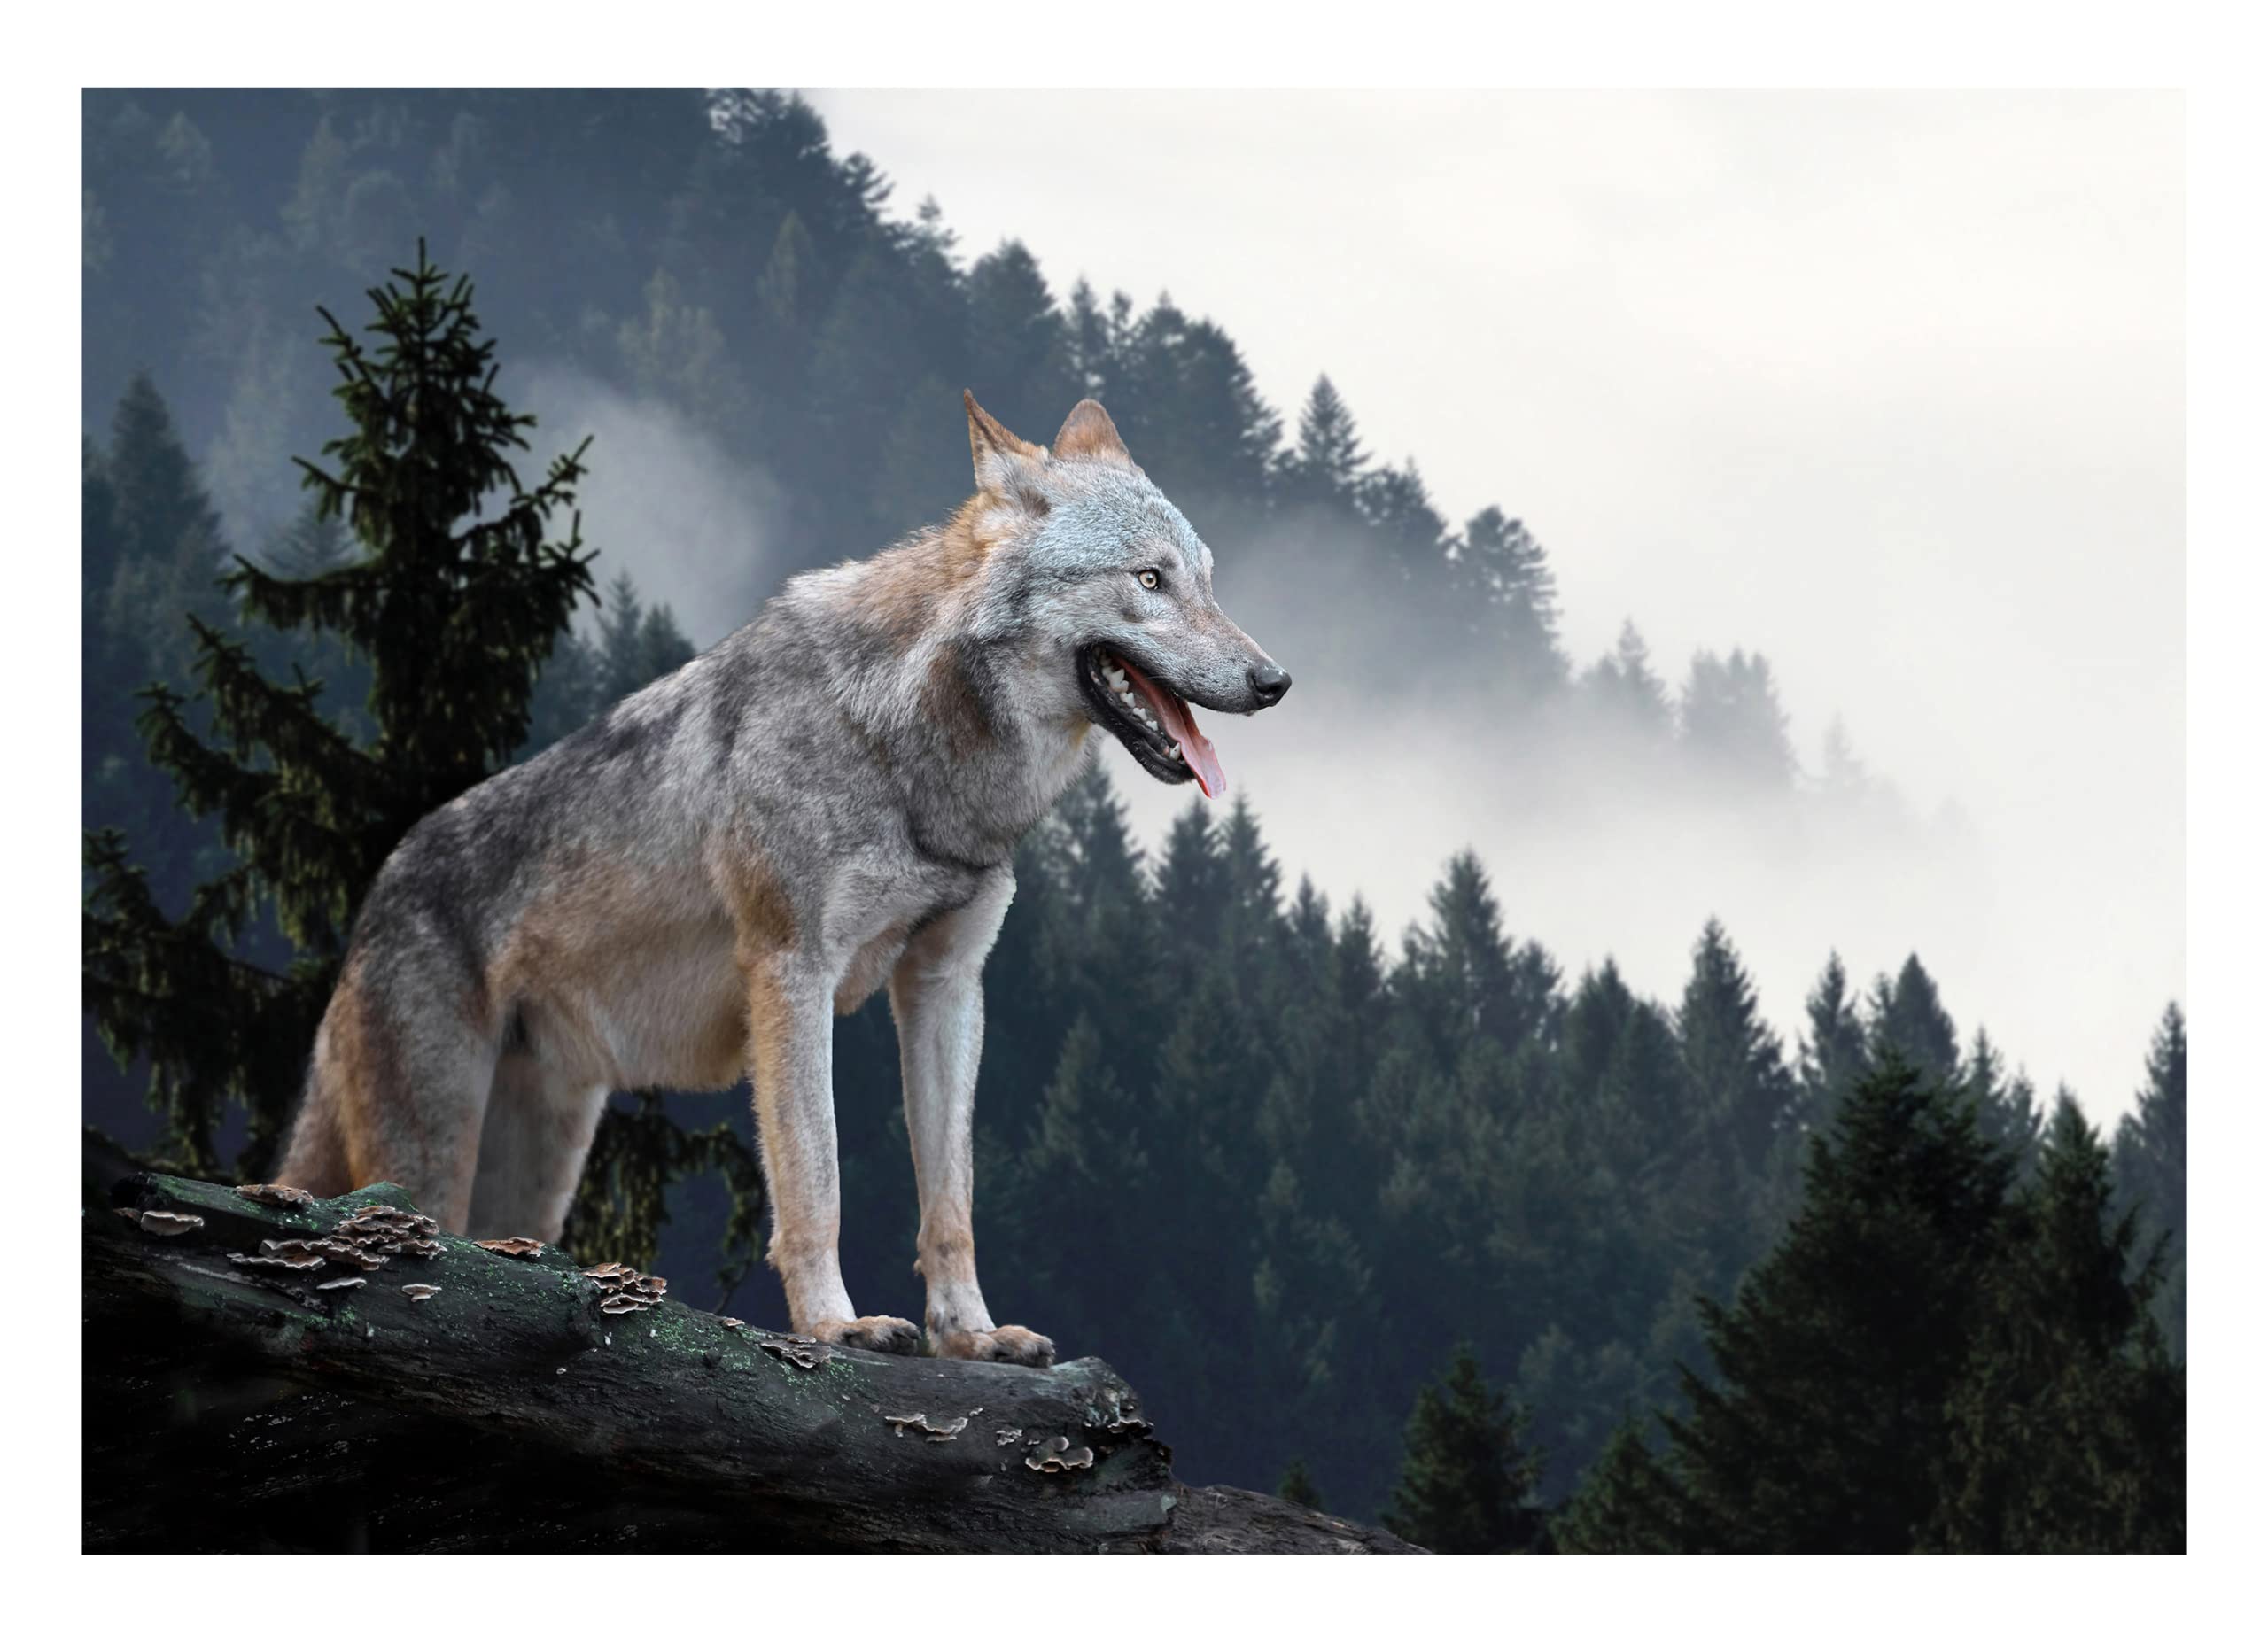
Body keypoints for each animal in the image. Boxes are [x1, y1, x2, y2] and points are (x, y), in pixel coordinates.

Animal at [276, 392, 1290, 1364]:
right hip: (432, 1158)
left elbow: (950, 1199)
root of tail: (375, 893)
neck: (909, 749)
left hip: (536, 1175)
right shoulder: (793, 971)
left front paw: (971, 1334)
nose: (1274, 680)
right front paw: (835, 1326)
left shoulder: (947, 984)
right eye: (1149, 579)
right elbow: (816, 1176)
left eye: (1206, 579)